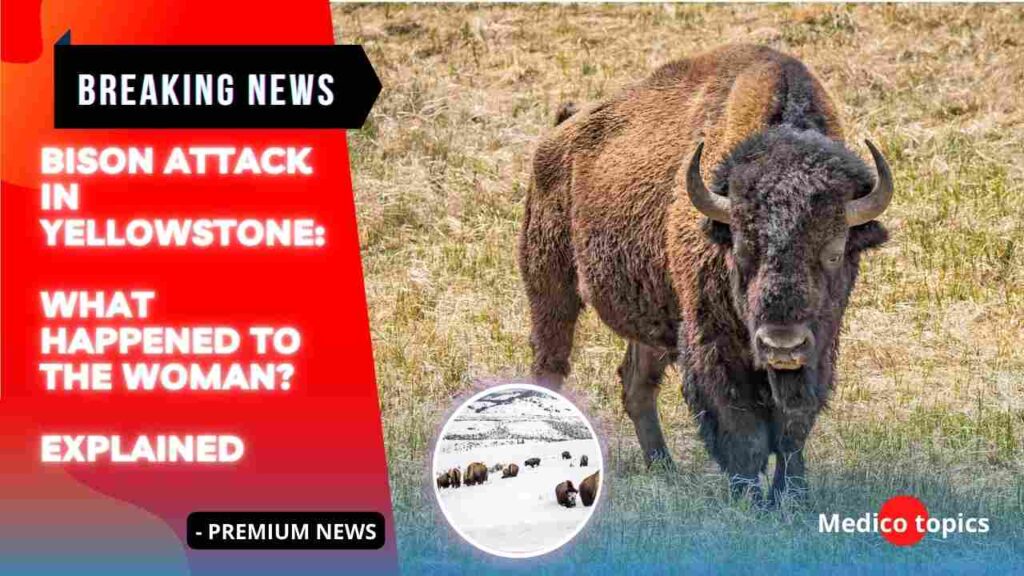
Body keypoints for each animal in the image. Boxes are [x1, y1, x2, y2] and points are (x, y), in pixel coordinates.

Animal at [520, 44, 893, 505]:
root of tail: (558, 134)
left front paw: (791, 496)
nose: (781, 344)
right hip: (550, 282)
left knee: (636, 384)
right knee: (551, 363)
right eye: (741, 247)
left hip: (656, 319)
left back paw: (665, 468)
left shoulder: (820, 347)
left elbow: (793, 426)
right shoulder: (712, 343)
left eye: (835, 253)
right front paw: (748, 499)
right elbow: (741, 428)